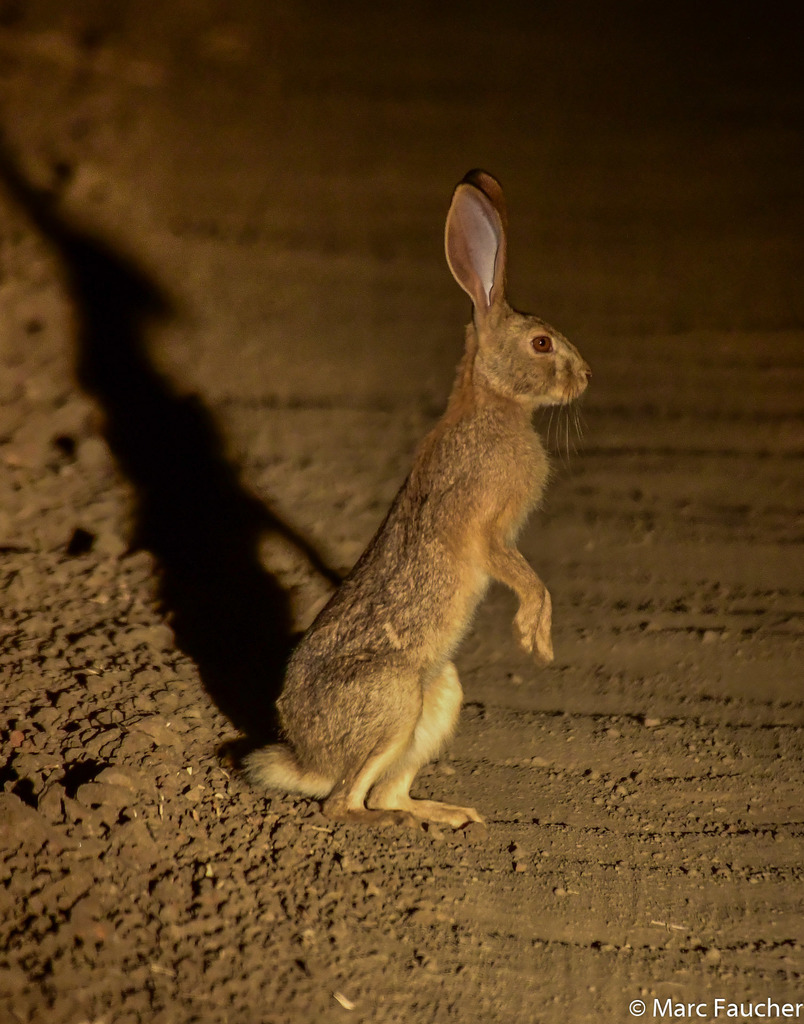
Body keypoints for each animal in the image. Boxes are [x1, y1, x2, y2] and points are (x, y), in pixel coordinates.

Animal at [244, 169, 591, 829]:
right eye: (541, 344)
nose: (586, 378)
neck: (493, 404)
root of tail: (306, 758)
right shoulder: (487, 530)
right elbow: (526, 577)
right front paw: (535, 637)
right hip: (394, 698)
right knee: (340, 803)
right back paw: (390, 822)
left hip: (438, 693)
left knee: (384, 788)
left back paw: (445, 814)